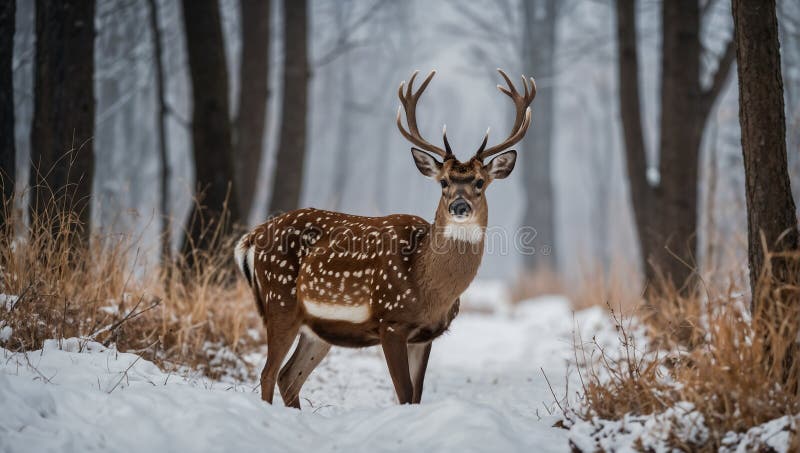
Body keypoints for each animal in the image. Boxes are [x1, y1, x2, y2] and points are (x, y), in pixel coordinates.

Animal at [234, 69, 535, 407]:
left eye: (480, 182)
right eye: (444, 182)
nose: (459, 206)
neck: (427, 286)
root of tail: (251, 238)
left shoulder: (425, 336)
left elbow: (416, 396)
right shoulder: (391, 322)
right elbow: (403, 394)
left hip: (316, 329)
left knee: (289, 377)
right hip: (279, 299)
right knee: (268, 373)